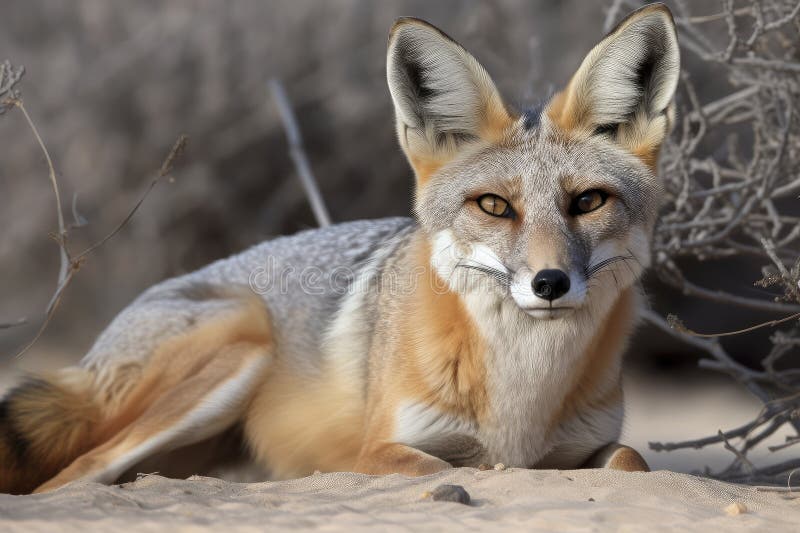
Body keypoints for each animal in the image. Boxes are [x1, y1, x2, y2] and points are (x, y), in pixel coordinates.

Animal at [0, 3, 680, 494]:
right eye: (494, 206)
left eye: (587, 202)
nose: (549, 283)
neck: (520, 405)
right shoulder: (376, 447)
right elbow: (455, 468)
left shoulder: (594, 445)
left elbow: (633, 463)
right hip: (241, 342)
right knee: (66, 482)